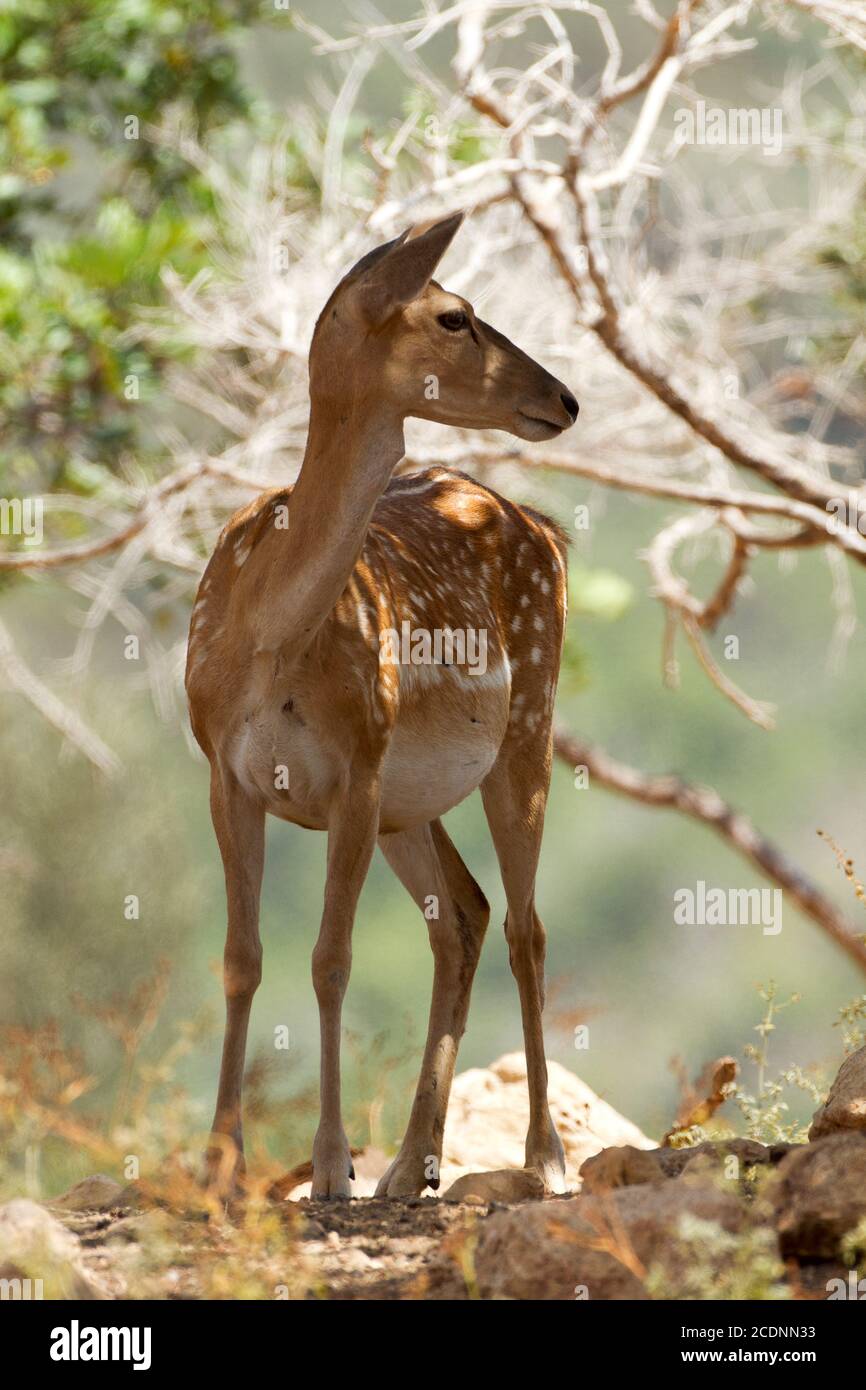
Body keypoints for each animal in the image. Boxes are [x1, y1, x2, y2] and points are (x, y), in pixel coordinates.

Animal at [185, 213, 579, 1200]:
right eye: (454, 315)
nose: (565, 399)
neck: (270, 639)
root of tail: (544, 527)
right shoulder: (224, 772)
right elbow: (241, 959)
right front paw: (218, 1170)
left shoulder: (356, 768)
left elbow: (332, 959)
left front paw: (330, 1168)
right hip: (413, 800)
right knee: (465, 916)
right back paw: (412, 1164)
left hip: (528, 724)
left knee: (525, 925)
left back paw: (545, 1158)